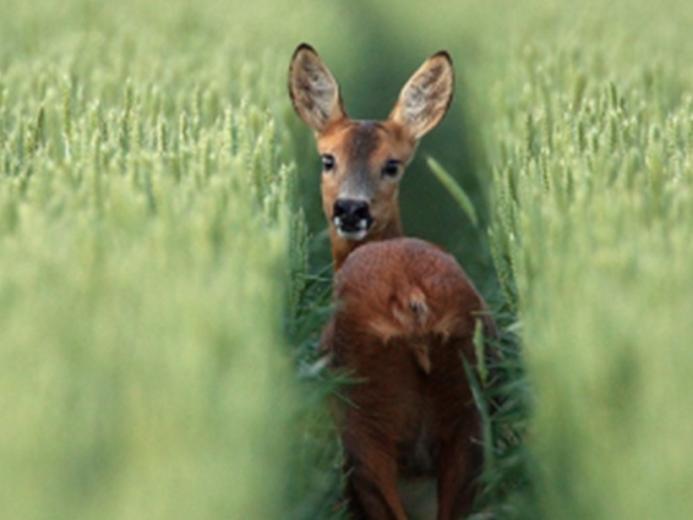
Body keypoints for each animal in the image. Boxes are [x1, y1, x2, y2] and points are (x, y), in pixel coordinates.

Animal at [289, 43, 495, 520]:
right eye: (328, 159)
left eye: (392, 166)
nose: (350, 209)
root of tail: (412, 302)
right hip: (468, 419)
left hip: (362, 418)